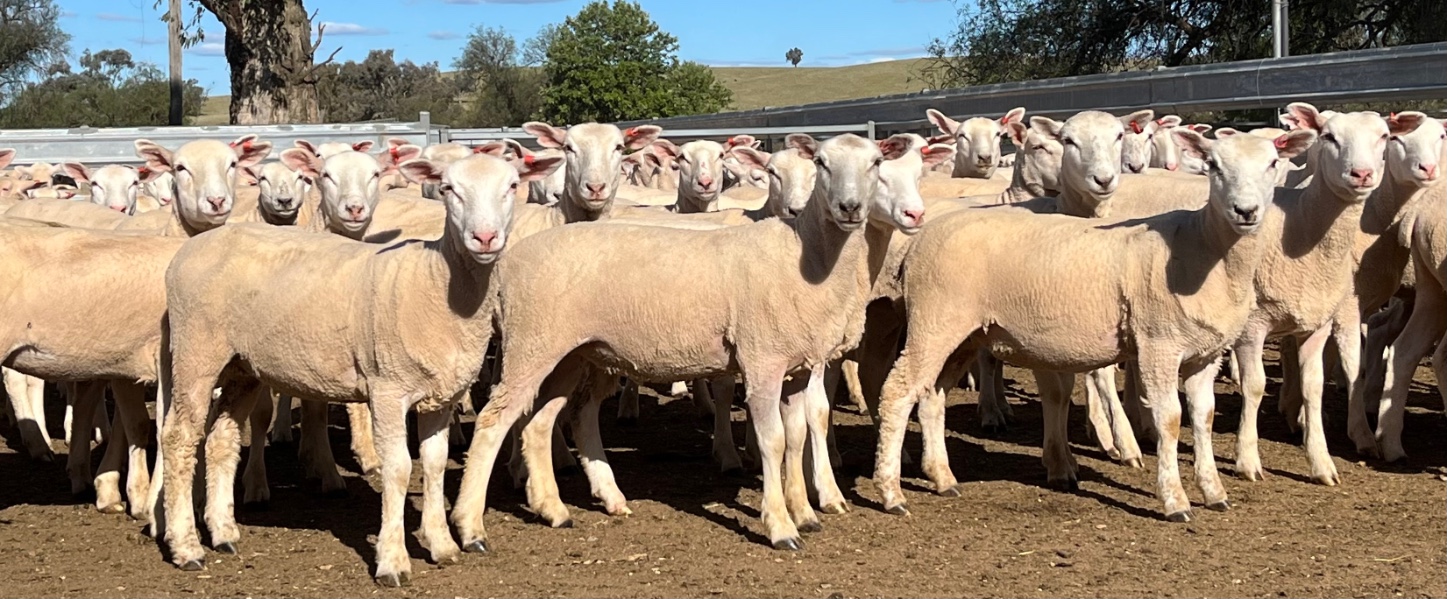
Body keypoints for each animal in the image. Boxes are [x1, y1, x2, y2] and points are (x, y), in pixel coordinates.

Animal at [158, 151, 564, 586]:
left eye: (512, 186)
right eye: (449, 188)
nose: (485, 238)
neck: (437, 281)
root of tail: (190, 249)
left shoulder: (441, 396)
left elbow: (435, 464)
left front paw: (441, 545)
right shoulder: (387, 389)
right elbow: (399, 468)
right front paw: (393, 560)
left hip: (241, 366)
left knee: (221, 439)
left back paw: (223, 533)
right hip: (196, 351)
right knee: (179, 438)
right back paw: (187, 547)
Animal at [452, 133, 927, 555]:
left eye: (875, 163)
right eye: (823, 163)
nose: (850, 208)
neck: (806, 255)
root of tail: (511, 259)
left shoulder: (797, 368)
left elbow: (796, 437)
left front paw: (805, 513)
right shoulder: (763, 360)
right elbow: (772, 441)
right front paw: (780, 526)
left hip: (574, 354)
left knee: (548, 420)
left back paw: (561, 508)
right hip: (531, 345)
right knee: (494, 421)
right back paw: (471, 528)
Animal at [872, 127, 1315, 521]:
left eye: (1273, 163)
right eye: (1214, 166)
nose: (1246, 211)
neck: (1203, 249)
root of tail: (921, 238)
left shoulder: (1207, 353)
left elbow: (1203, 416)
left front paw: (1214, 491)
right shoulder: (1158, 345)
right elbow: (1170, 419)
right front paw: (1174, 500)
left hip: (966, 335)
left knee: (931, 396)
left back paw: (942, 477)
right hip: (935, 322)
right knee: (897, 391)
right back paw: (891, 493)